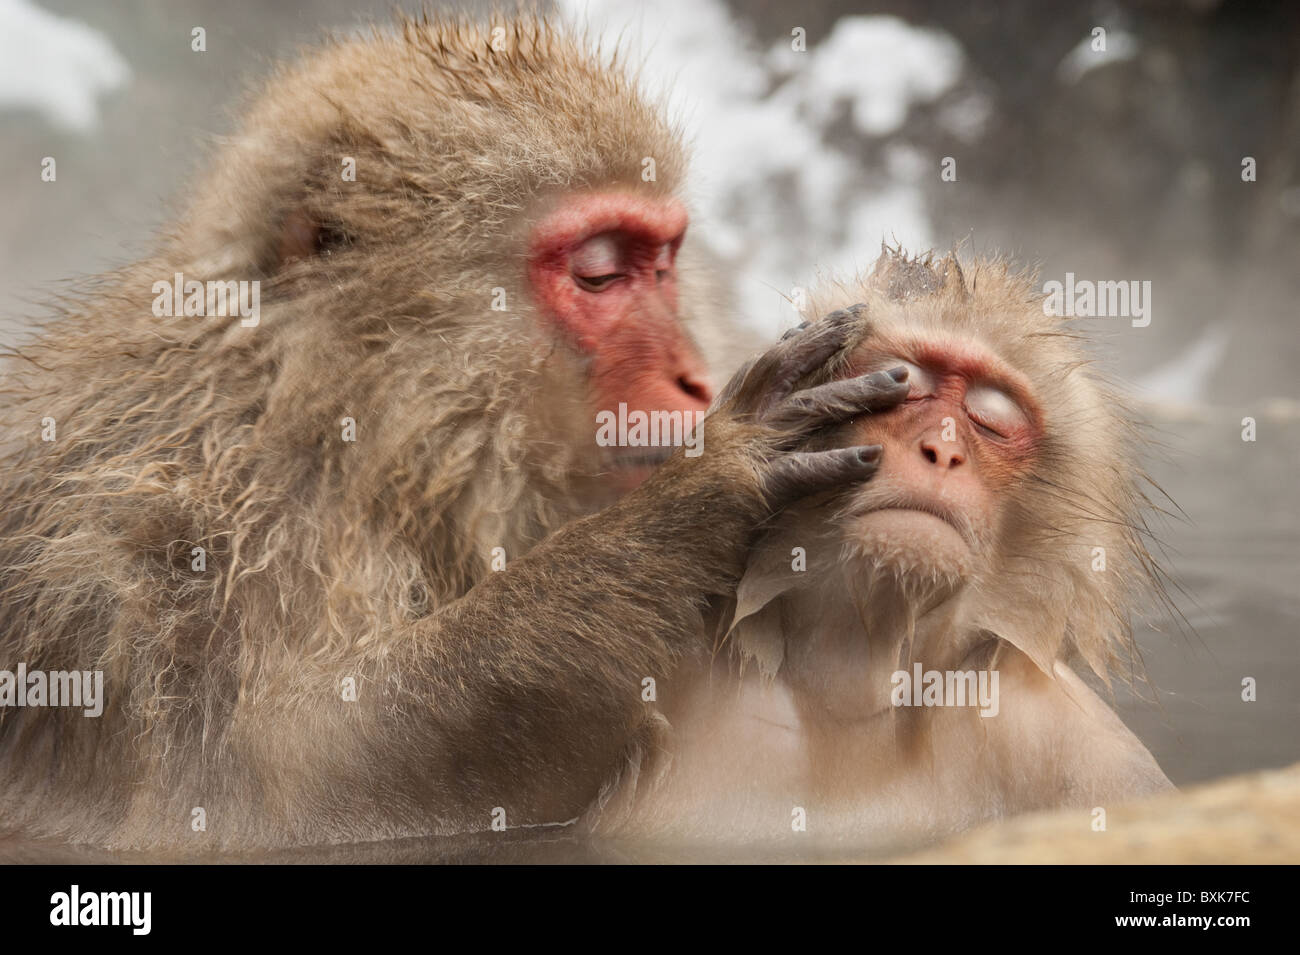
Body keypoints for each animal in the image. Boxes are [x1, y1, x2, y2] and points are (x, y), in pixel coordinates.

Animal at [0, 13, 910, 851]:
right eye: (600, 271)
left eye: (662, 264)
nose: (694, 378)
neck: (337, 425)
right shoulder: (175, 547)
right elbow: (259, 788)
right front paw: (698, 499)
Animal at [601, 248, 1176, 856]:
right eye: (906, 383)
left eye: (991, 417)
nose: (942, 451)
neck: (851, 678)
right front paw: (739, 453)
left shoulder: (1095, 749)